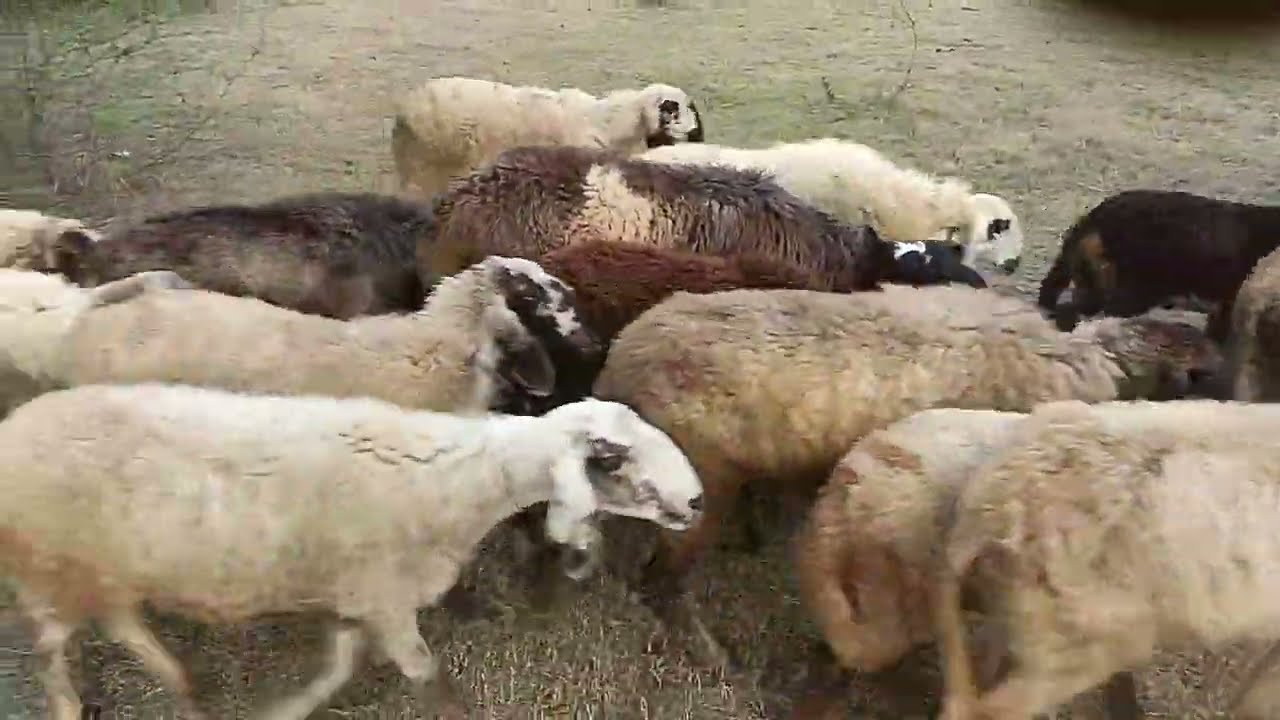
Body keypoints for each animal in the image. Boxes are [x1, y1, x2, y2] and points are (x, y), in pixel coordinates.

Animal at [0, 382, 705, 720]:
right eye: (611, 460)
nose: (697, 501)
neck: (463, 480)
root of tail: (13, 427)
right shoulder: (385, 596)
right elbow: (428, 676)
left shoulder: (356, 597)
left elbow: (337, 668)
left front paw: (285, 712)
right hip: (49, 567)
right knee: (54, 652)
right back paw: (77, 706)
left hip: (101, 568)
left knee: (120, 621)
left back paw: (186, 690)